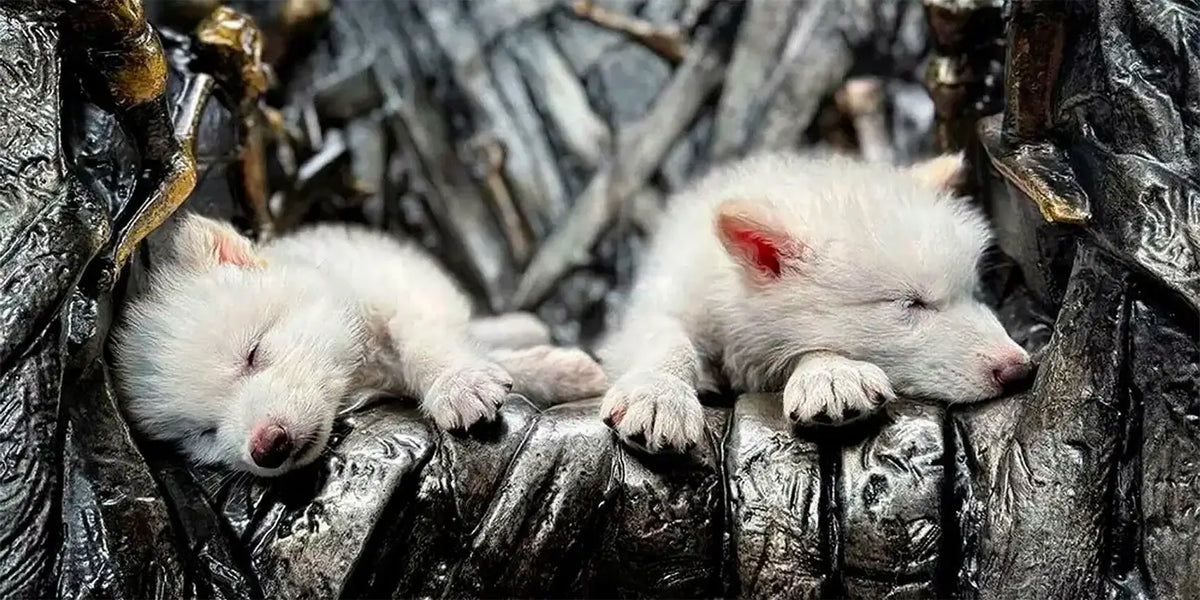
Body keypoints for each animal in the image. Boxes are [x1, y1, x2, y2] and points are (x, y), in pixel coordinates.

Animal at [113, 216, 607, 476]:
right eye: (204, 433)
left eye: (252, 353)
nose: (266, 447)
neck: (358, 371)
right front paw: (555, 372)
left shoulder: (402, 296)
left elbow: (425, 342)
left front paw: (458, 383)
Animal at [598, 151, 1032, 452]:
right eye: (911, 303)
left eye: (973, 293)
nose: (1021, 371)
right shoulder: (664, 300)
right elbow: (667, 339)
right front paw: (657, 393)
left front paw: (831, 373)